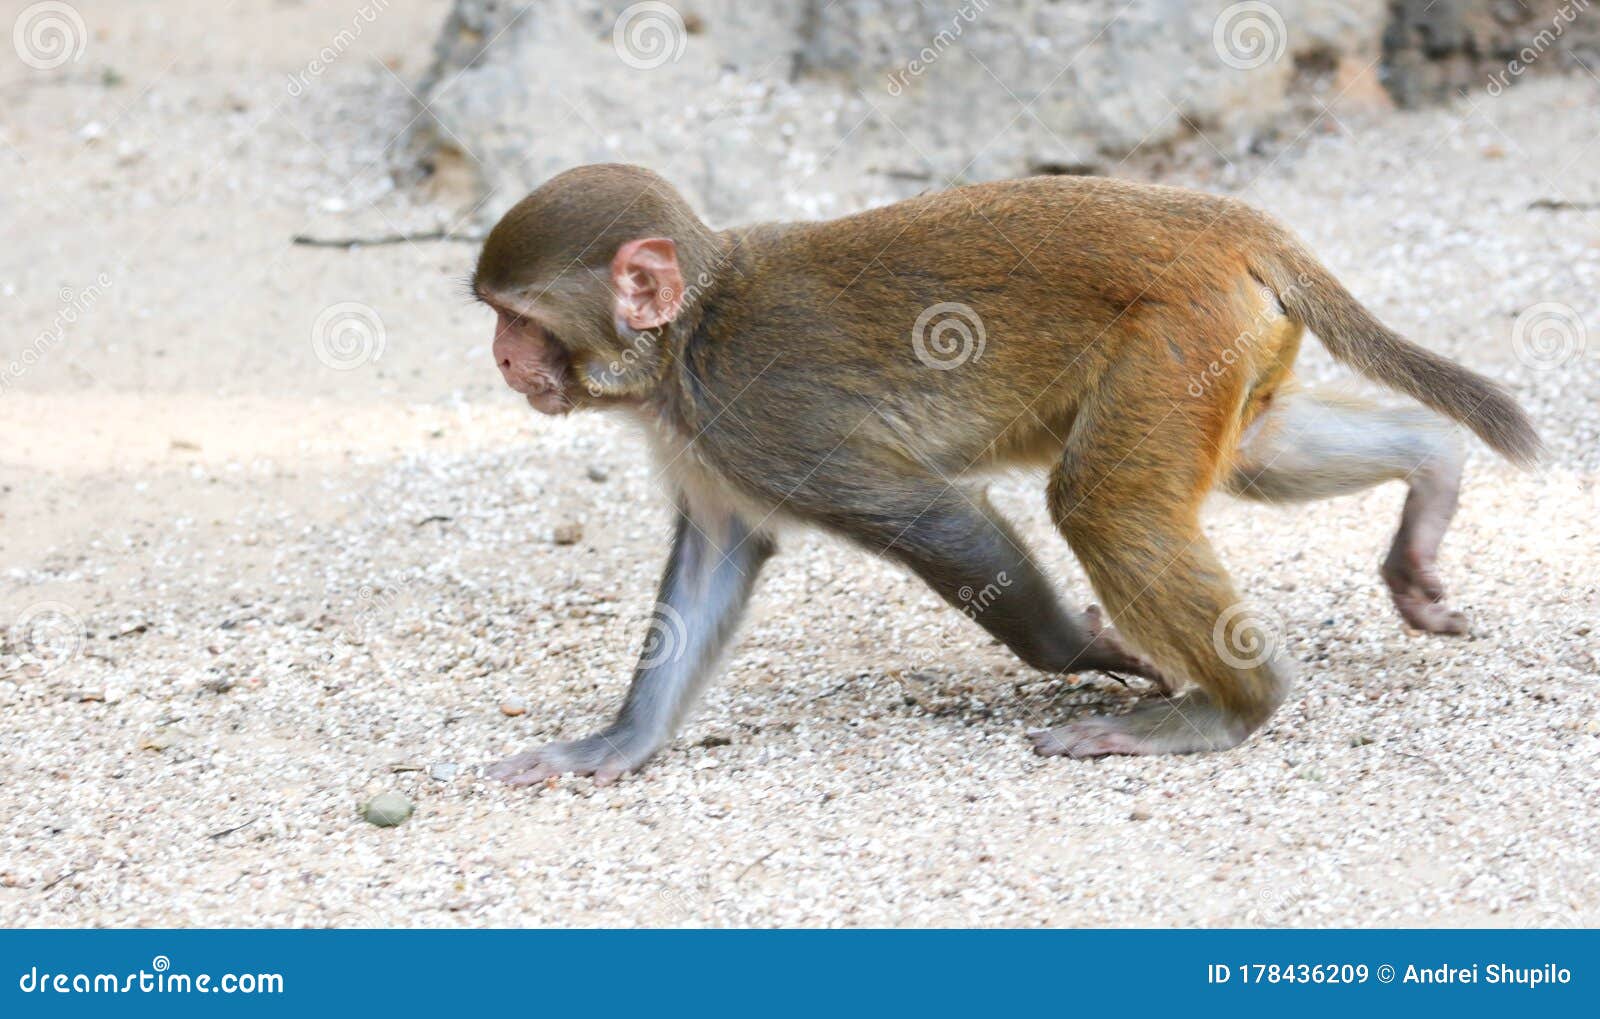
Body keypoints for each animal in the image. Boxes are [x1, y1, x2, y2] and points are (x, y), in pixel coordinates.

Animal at [470, 163, 1539, 784]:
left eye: (517, 317)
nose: (502, 359)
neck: (688, 333)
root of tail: (1228, 223)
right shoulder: (703, 438)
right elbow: (720, 555)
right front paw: (618, 744)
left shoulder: (761, 416)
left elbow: (939, 521)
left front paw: (1087, 651)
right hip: (1235, 347)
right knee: (1254, 457)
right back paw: (1431, 474)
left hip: (1179, 334)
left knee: (1102, 506)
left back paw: (1235, 709)